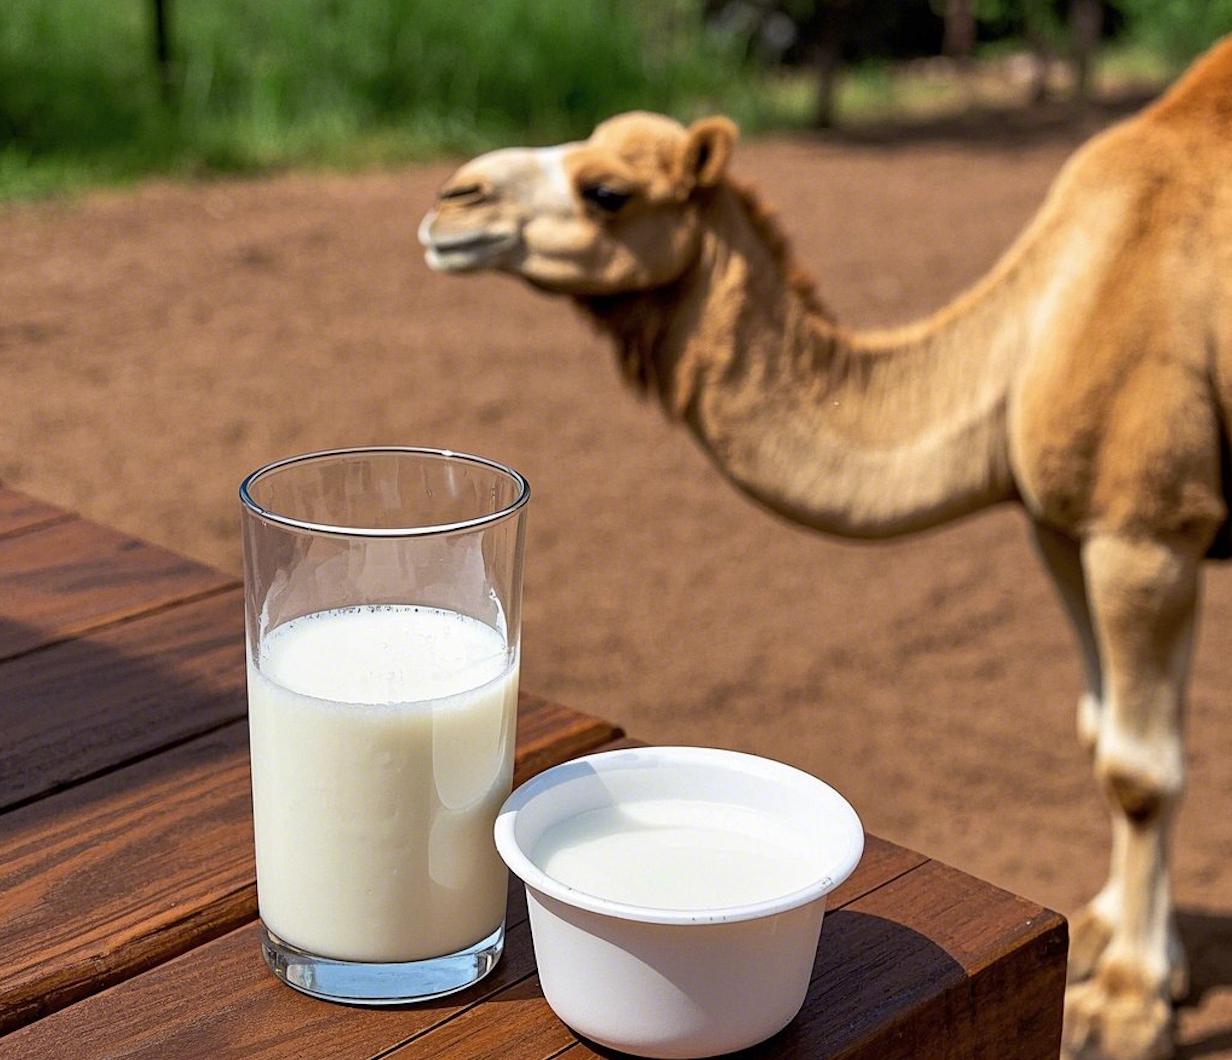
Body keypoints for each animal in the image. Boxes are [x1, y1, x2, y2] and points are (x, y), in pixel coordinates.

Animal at [418, 36, 1232, 1060]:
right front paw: (1122, 944)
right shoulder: (1058, 524)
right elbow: (1101, 731)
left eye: (607, 190)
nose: (453, 200)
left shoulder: (1147, 524)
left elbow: (1140, 768)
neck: (1035, 330)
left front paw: (1126, 1004)